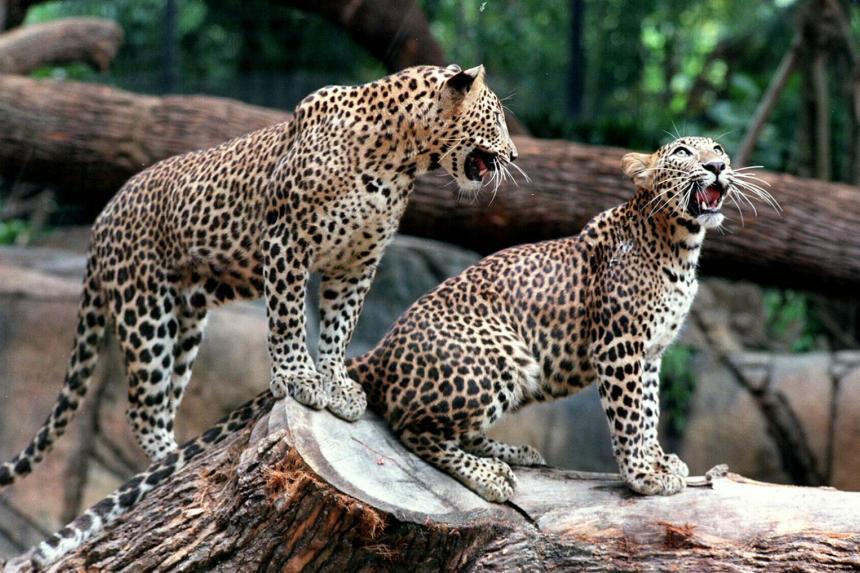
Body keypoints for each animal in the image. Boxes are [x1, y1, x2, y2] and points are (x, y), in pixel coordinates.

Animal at [0, 64, 518, 495]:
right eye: (495, 119)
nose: (514, 154)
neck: (399, 159)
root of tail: (103, 216)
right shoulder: (288, 240)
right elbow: (288, 317)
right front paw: (298, 378)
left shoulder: (356, 262)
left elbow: (339, 327)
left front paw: (337, 384)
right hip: (145, 312)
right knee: (142, 409)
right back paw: (169, 467)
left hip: (186, 321)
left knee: (161, 404)